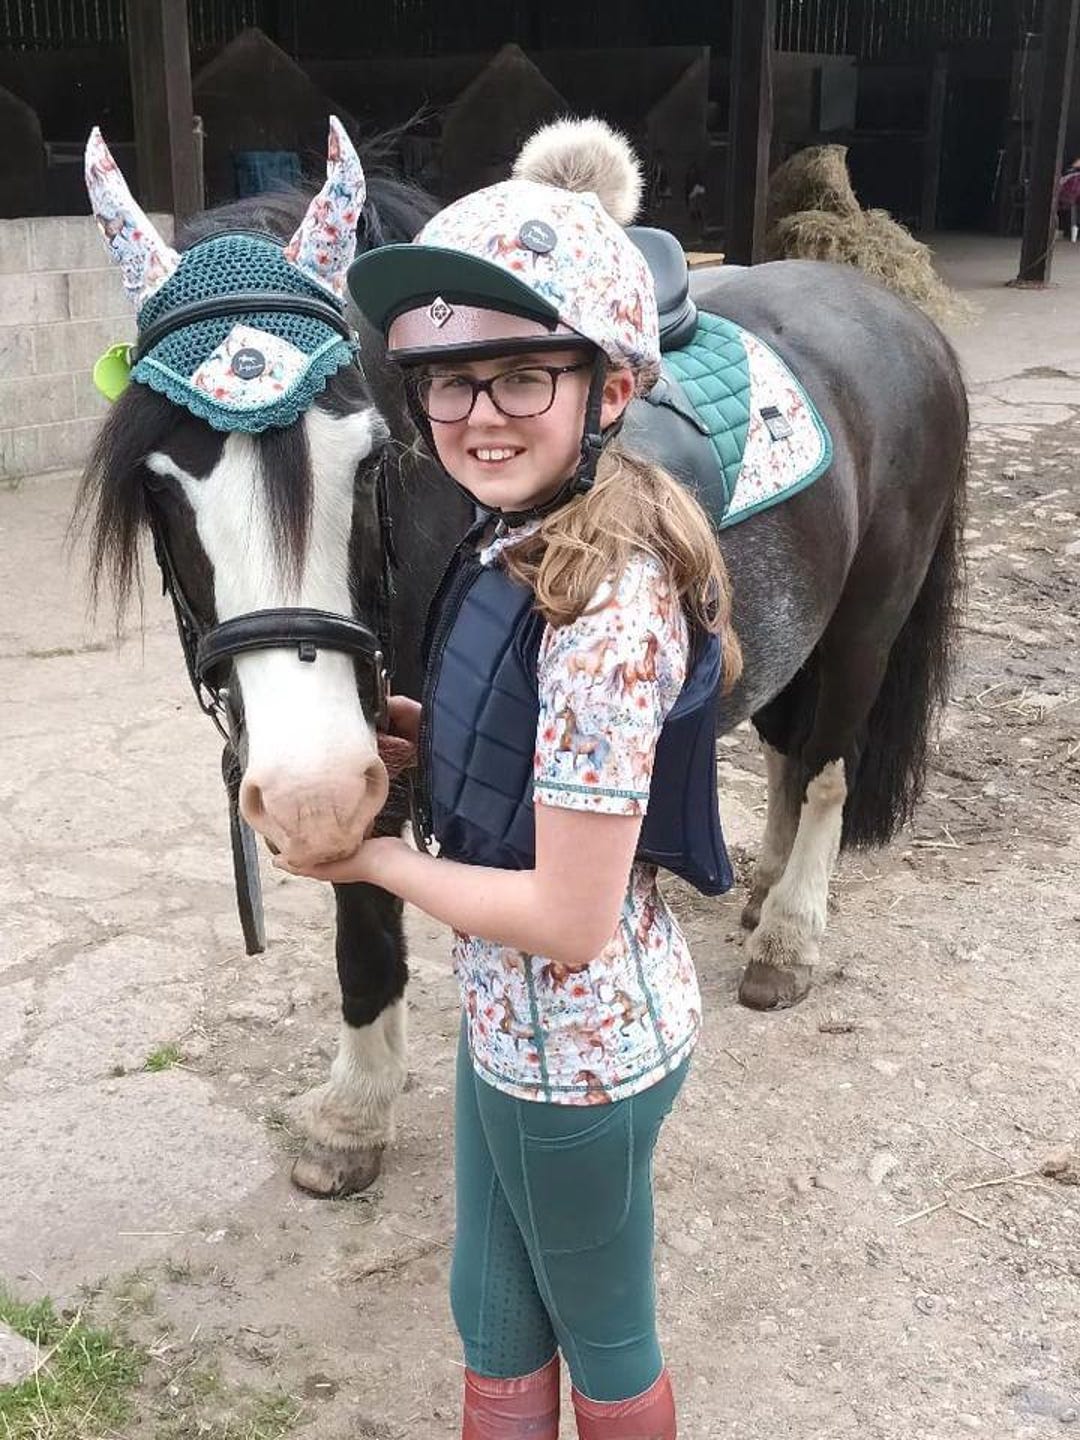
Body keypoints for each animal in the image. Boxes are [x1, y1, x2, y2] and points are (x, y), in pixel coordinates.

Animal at [77, 130, 966, 1198]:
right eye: (161, 486)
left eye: (371, 458)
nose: (306, 795)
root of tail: (902, 316)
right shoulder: (370, 747)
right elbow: (362, 923)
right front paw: (354, 1115)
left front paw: (359, 1111)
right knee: (790, 752)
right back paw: (761, 896)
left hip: (869, 622)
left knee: (830, 764)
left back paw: (789, 937)